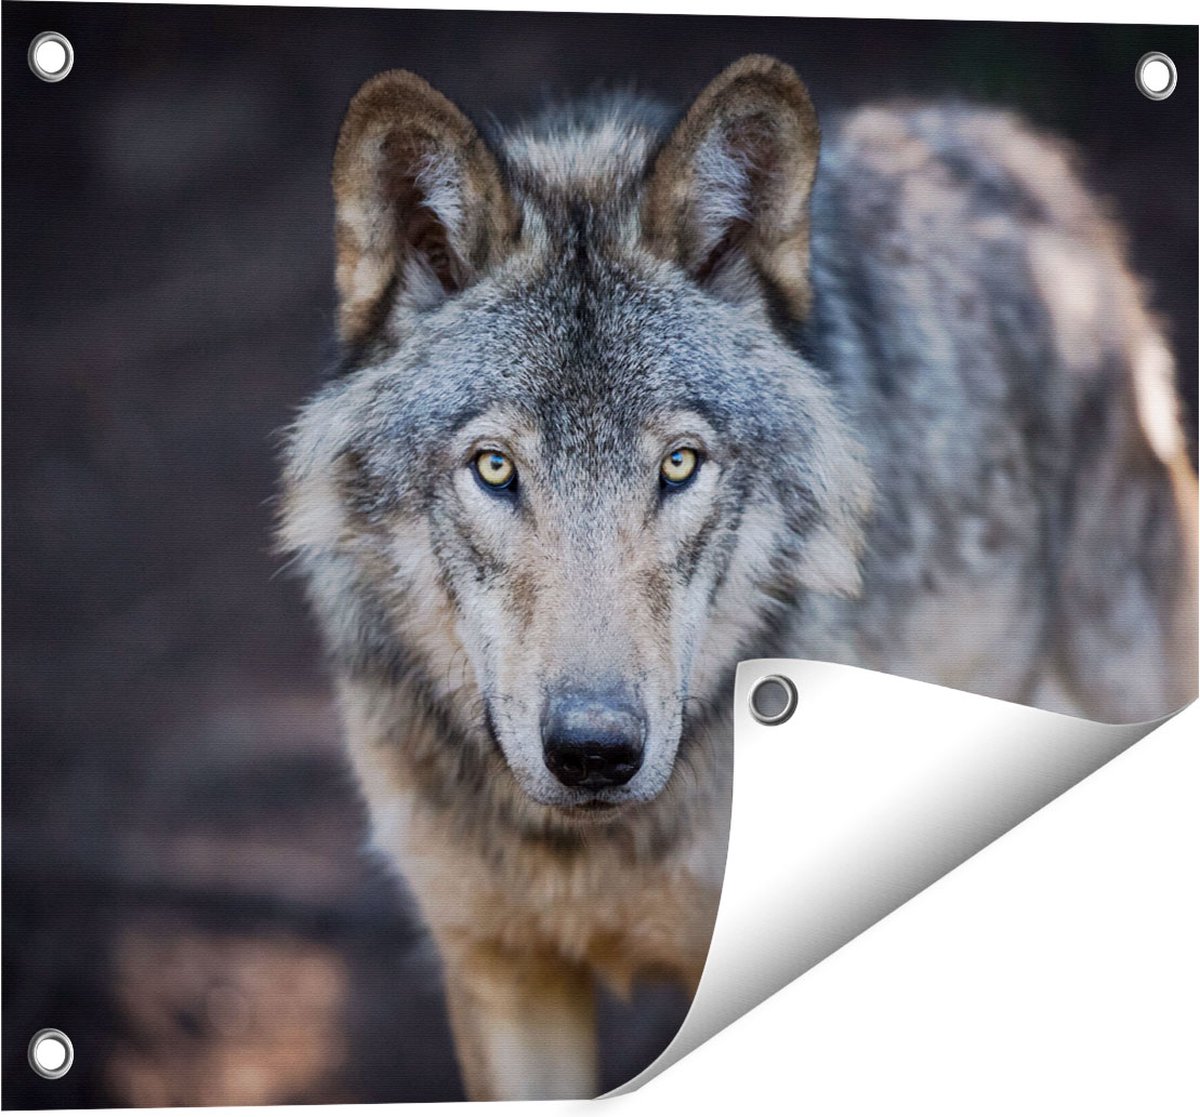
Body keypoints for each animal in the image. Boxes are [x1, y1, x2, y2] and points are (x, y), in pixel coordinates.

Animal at [279, 55, 1197, 1100]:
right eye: (496, 468)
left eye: (679, 464)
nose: (594, 752)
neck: (587, 852)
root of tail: (1021, 157)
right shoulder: (502, 973)